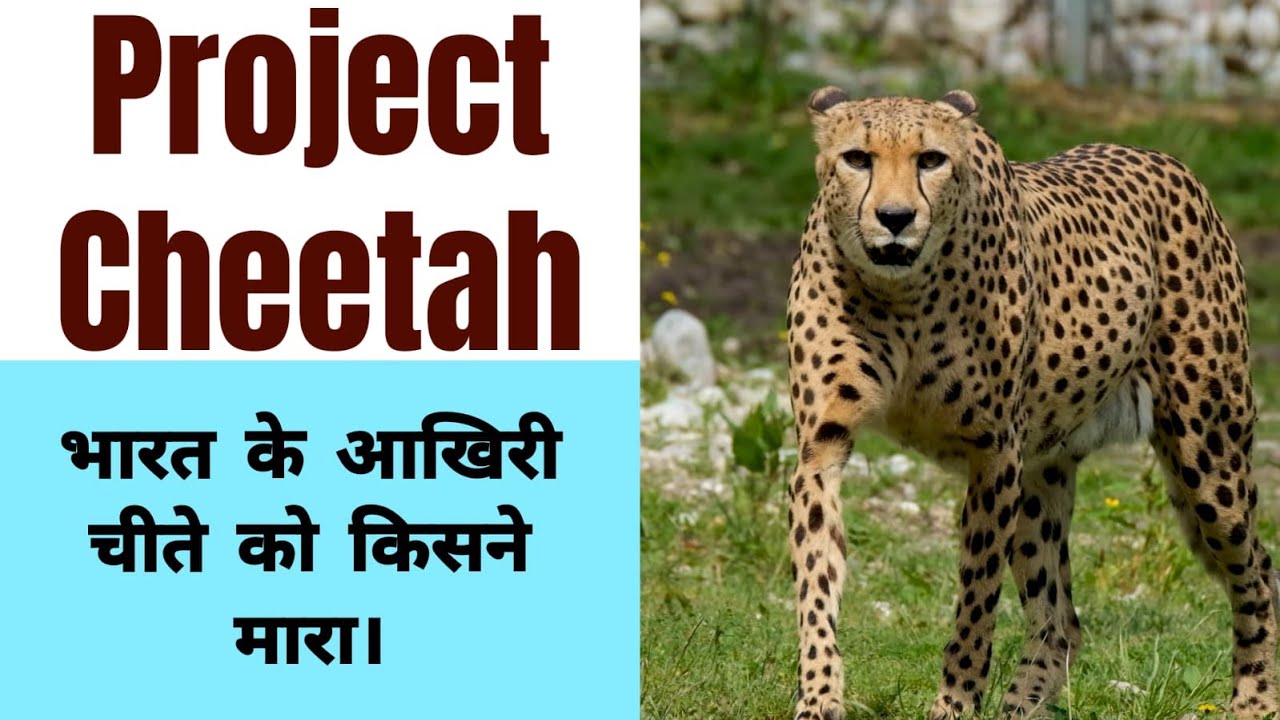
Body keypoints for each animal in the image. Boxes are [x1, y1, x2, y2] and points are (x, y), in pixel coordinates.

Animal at [785, 86, 1277, 719]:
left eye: (931, 160)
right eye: (857, 158)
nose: (895, 219)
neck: (901, 291)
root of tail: (1164, 159)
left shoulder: (995, 456)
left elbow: (975, 602)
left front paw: (955, 704)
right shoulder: (821, 446)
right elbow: (816, 581)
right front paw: (819, 693)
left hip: (1208, 453)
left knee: (1258, 571)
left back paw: (1255, 699)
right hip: (1044, 477)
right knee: (1061, 620)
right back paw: (1021, 704)